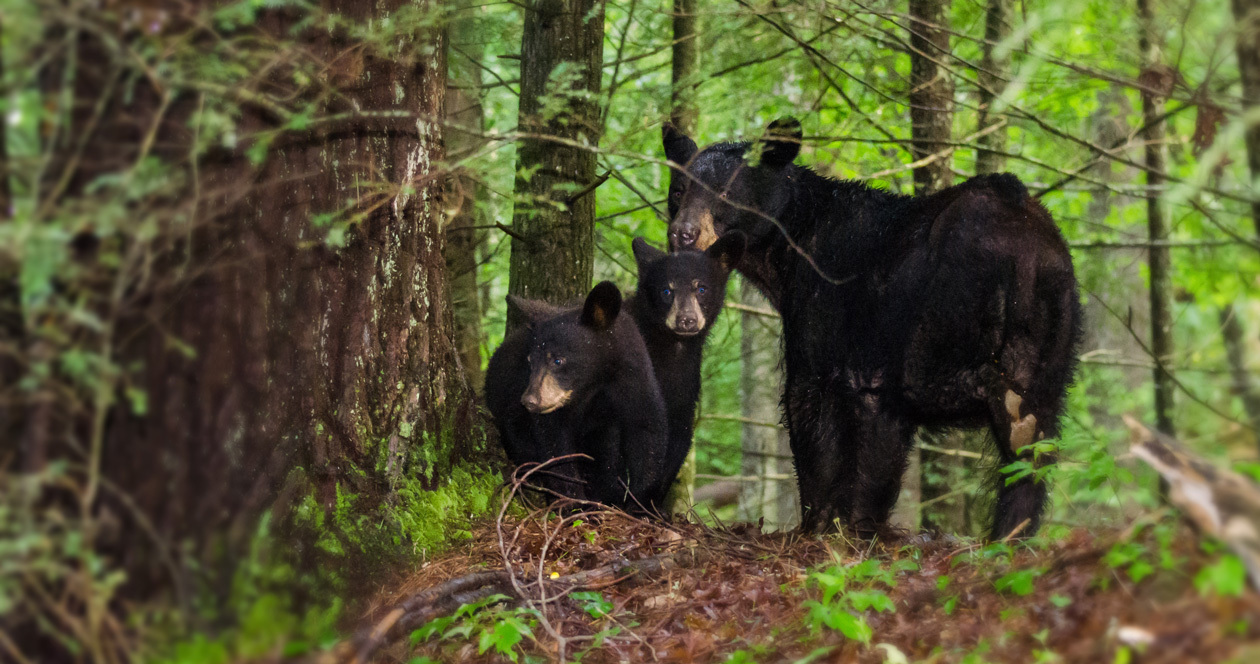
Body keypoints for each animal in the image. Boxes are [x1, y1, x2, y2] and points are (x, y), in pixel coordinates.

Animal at [484, 281, 670, 511]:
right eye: (530, 361)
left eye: (558, 360)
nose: (529, 400)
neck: (593, 384)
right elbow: (555, 447)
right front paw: (576, 504)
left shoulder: (633, 378)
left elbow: (647, 430)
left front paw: (641, 505)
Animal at [626, 232, 746, 508]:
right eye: (666, 291)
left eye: (701, 288)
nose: (687, 320)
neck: (672, 350)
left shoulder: (684, 388)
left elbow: (677, 440)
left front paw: (651, 508)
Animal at [662, 118, 1081, 540]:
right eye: (677, 190)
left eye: (726, 192)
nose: (683, 233)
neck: (785, 251)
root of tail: (1026, 249)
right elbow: (880, 438)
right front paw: (860, 527)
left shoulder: (823, 304)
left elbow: (812, 405)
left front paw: (816, 525)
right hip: (1054, 323)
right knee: (1034, 432)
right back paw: (1009, 530)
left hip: (948, 300)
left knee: (925, 386)